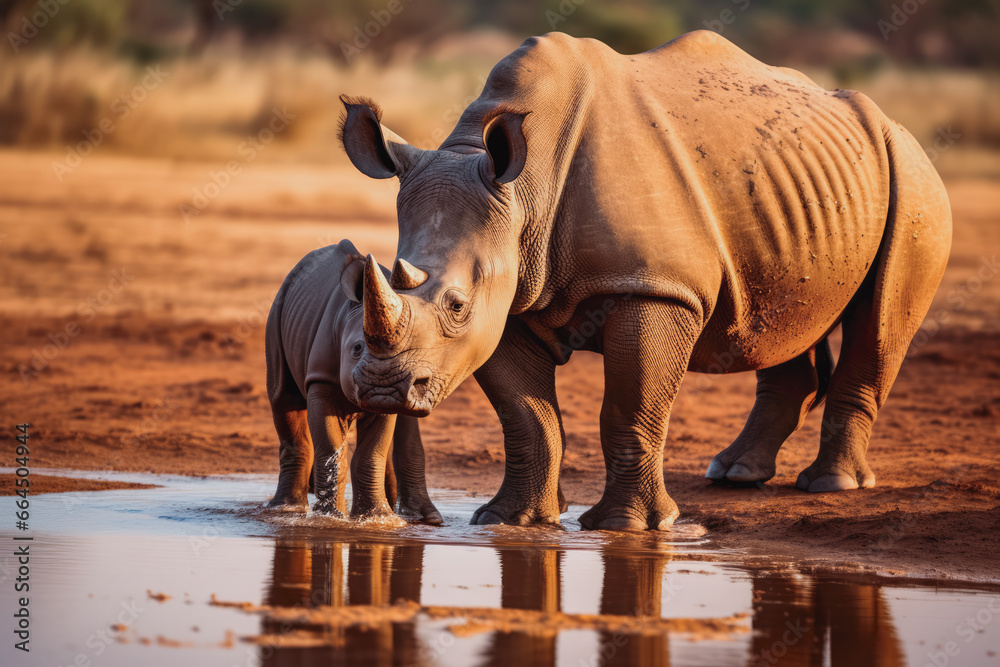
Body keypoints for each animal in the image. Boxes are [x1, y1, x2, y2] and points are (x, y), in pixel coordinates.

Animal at [265, 239, 442, 525]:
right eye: (357, 348)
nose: (381, 389)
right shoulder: (322, 378)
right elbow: (331, 448)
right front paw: (330, 519)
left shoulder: (398, 387)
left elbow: (372, 452)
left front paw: (377, 519)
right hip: (279, 304)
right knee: (283, 397)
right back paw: (284, 510)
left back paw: (418, 516)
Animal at [338, 31, 952, 530]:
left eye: (457, 305)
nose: (384, 390)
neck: (524, 194)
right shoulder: (509, 300)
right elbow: (525, 413)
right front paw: (510, 521)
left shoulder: (653, 286)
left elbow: (630, 405)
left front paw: (625, 528)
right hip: (799, 190)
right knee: (783, 318)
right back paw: (736, 474)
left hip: (914, 177)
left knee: (878, 324)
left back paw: (831, 484)